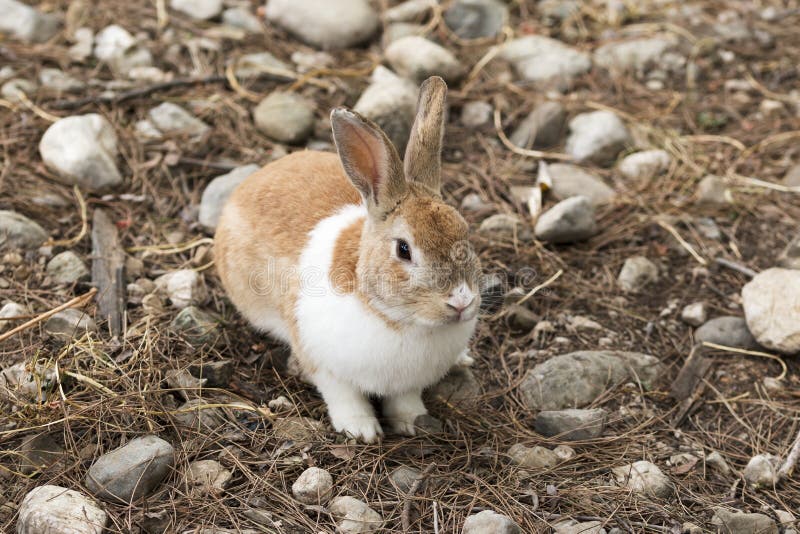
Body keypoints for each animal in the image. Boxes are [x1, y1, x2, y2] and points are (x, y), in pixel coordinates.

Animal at [214, 76, 481, 442]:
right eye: (404, 249)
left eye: (465, 232)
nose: (461, 302)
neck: (397, 318)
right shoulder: (324, 365)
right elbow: (343, 396)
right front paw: (362, 430)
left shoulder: (407, 383)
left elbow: (404, 399)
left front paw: (411, 421)